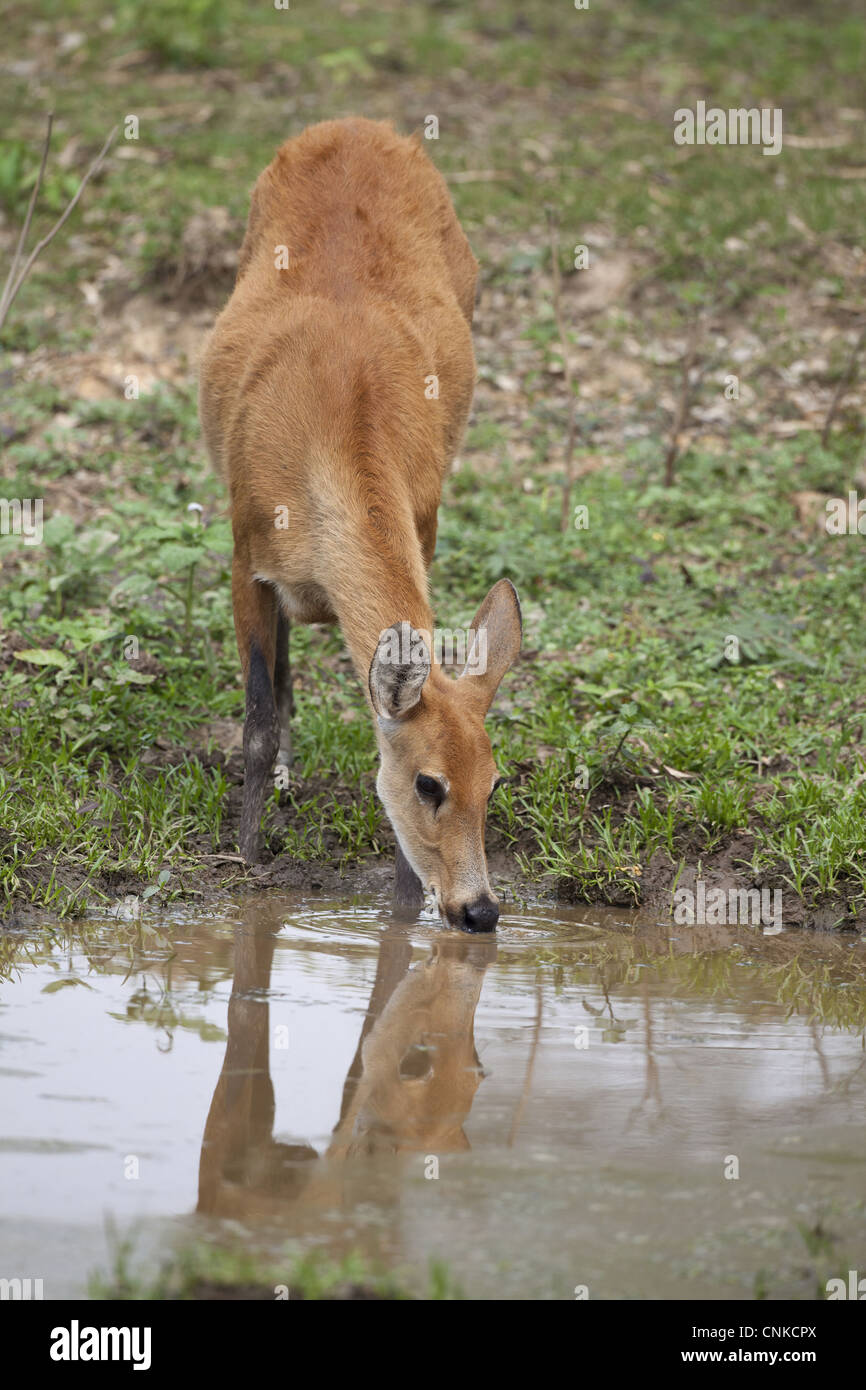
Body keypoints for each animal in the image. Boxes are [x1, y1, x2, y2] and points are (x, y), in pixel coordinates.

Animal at [199, 118, 522, 932]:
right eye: (430, 784)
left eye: (495, 783)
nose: (479, 910)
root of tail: (358, 126)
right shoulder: (244, 550)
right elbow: (255, 722)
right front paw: (246, 857)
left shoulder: (424, 524)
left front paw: (403, 905)